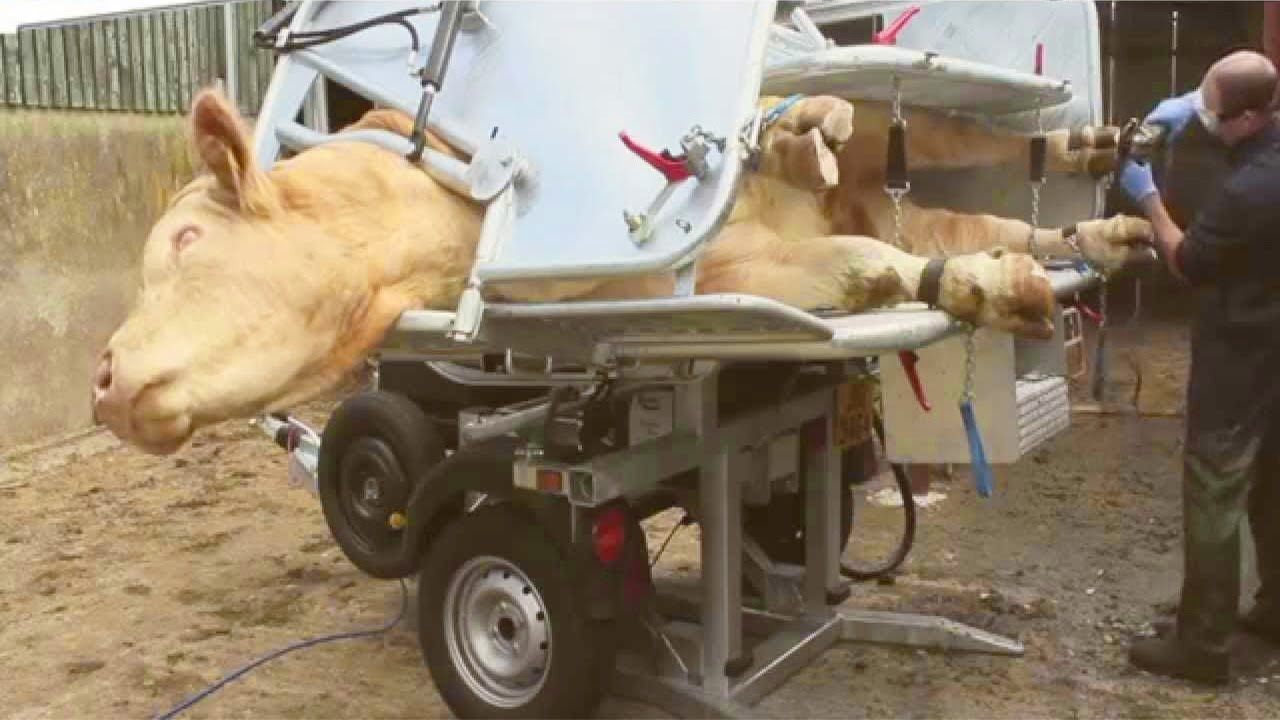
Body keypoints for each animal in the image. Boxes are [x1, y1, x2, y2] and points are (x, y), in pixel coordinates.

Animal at [90, 89, 1151, 454]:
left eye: (184, 241)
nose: (101, 378)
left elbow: (823, 177)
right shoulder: (731, 278)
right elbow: (868, 267)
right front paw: (984, 286)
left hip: (911, 133)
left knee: (974, 135)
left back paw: (1090, 150)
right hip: (904, 197)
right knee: (984, 219)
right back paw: (1100, 239)